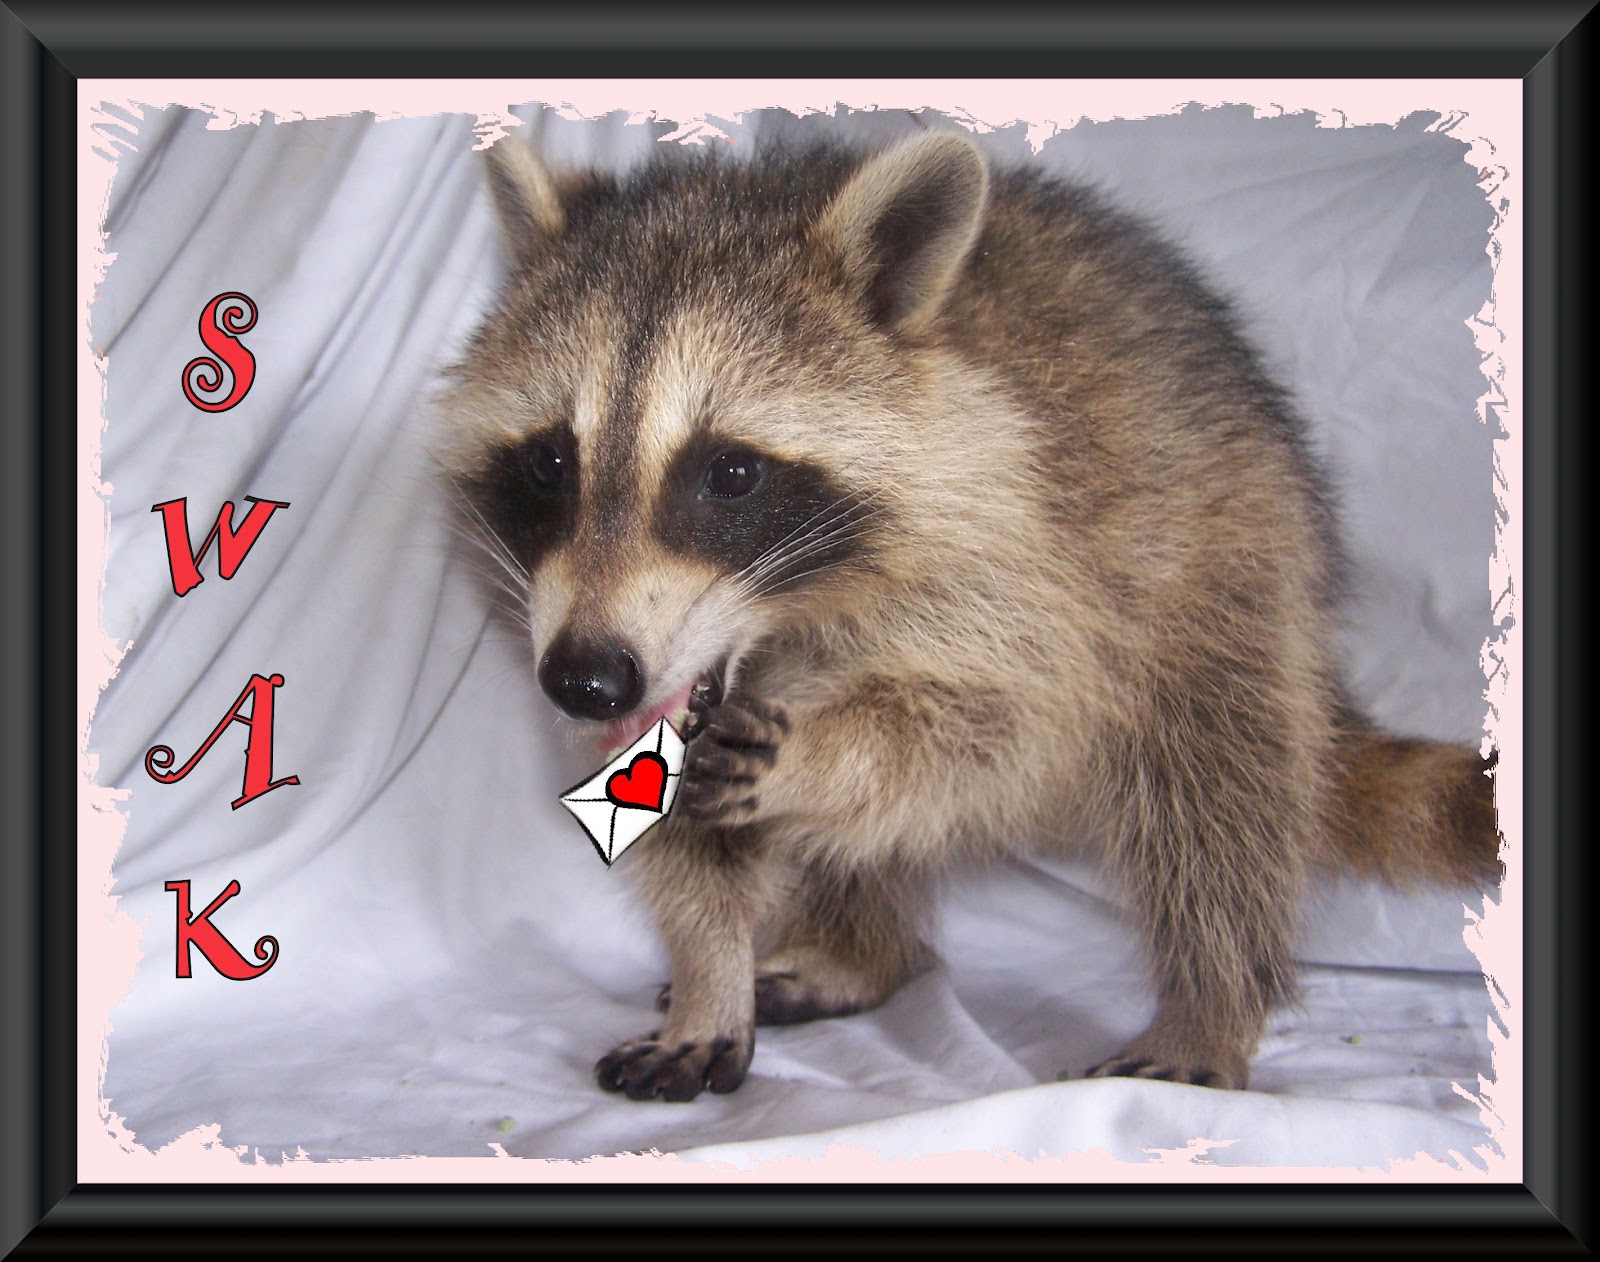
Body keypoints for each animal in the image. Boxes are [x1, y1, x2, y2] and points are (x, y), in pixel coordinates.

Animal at [437, 128, 1499, 1102]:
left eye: (731, 474)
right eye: (549, 464)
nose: (585, 680)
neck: (782, 616)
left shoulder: (1037, 553)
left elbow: (997, 729)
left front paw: (822, 754)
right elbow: (671, 817)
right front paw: (711, 973)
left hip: (1223, 563)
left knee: (1218, 783)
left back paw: (1210, 1000)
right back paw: (853, 950)